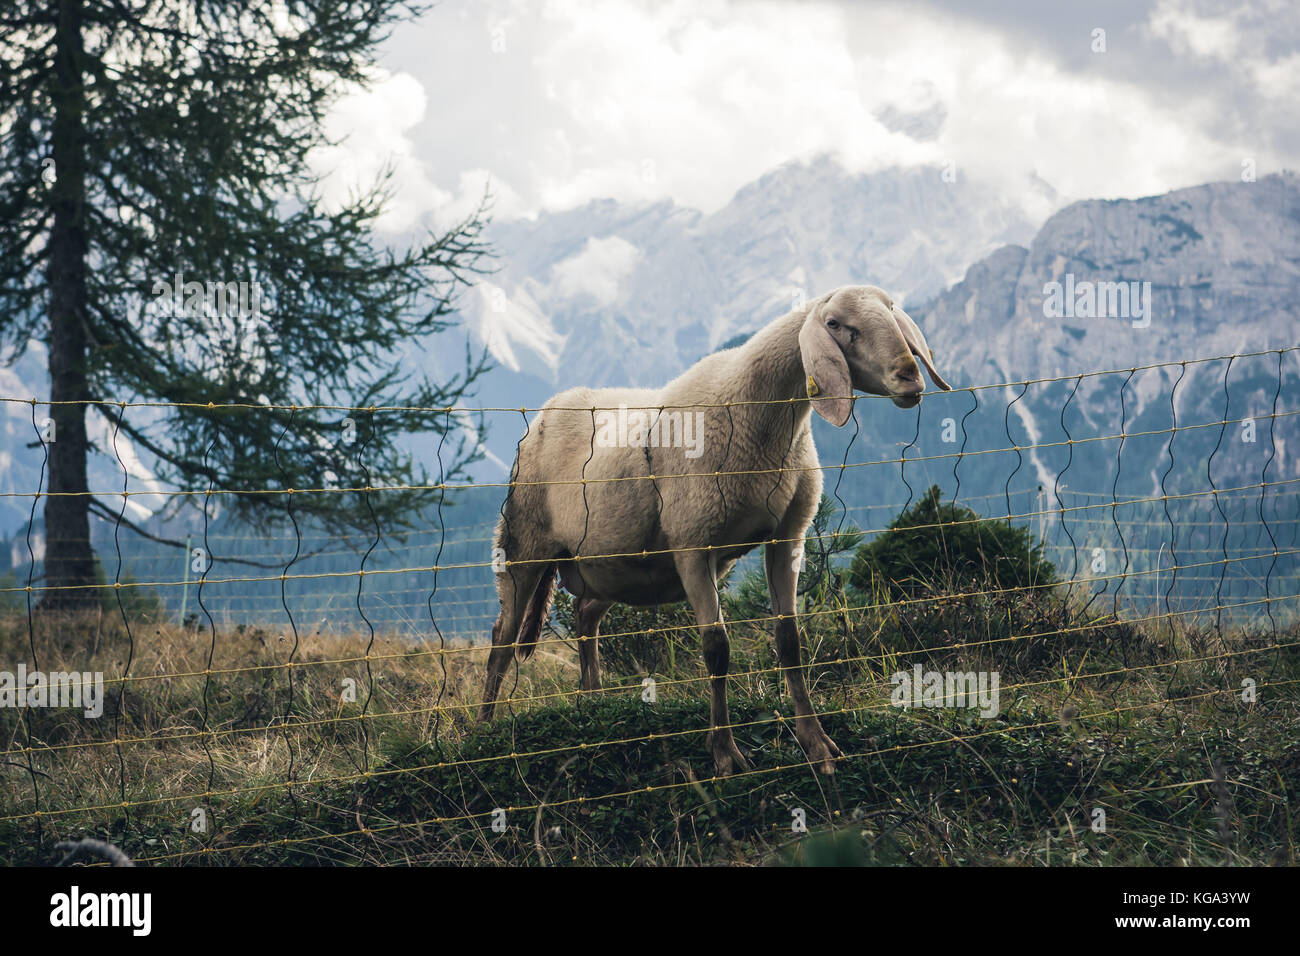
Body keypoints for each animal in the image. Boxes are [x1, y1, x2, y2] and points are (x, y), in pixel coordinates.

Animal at [477, 285, 951, 776]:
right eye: (837, 325)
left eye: (893, 314)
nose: (909, 377)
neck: (762, 419)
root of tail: (547, 410)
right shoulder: (692, 545)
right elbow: (716, 649)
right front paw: (725, 753)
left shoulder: (788, 536)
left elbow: (790, 641)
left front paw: (817, 745)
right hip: (523, 543)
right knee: (502, 637)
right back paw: (483, 729)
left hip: (613, 563)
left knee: (585, 617)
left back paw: (592, 703)